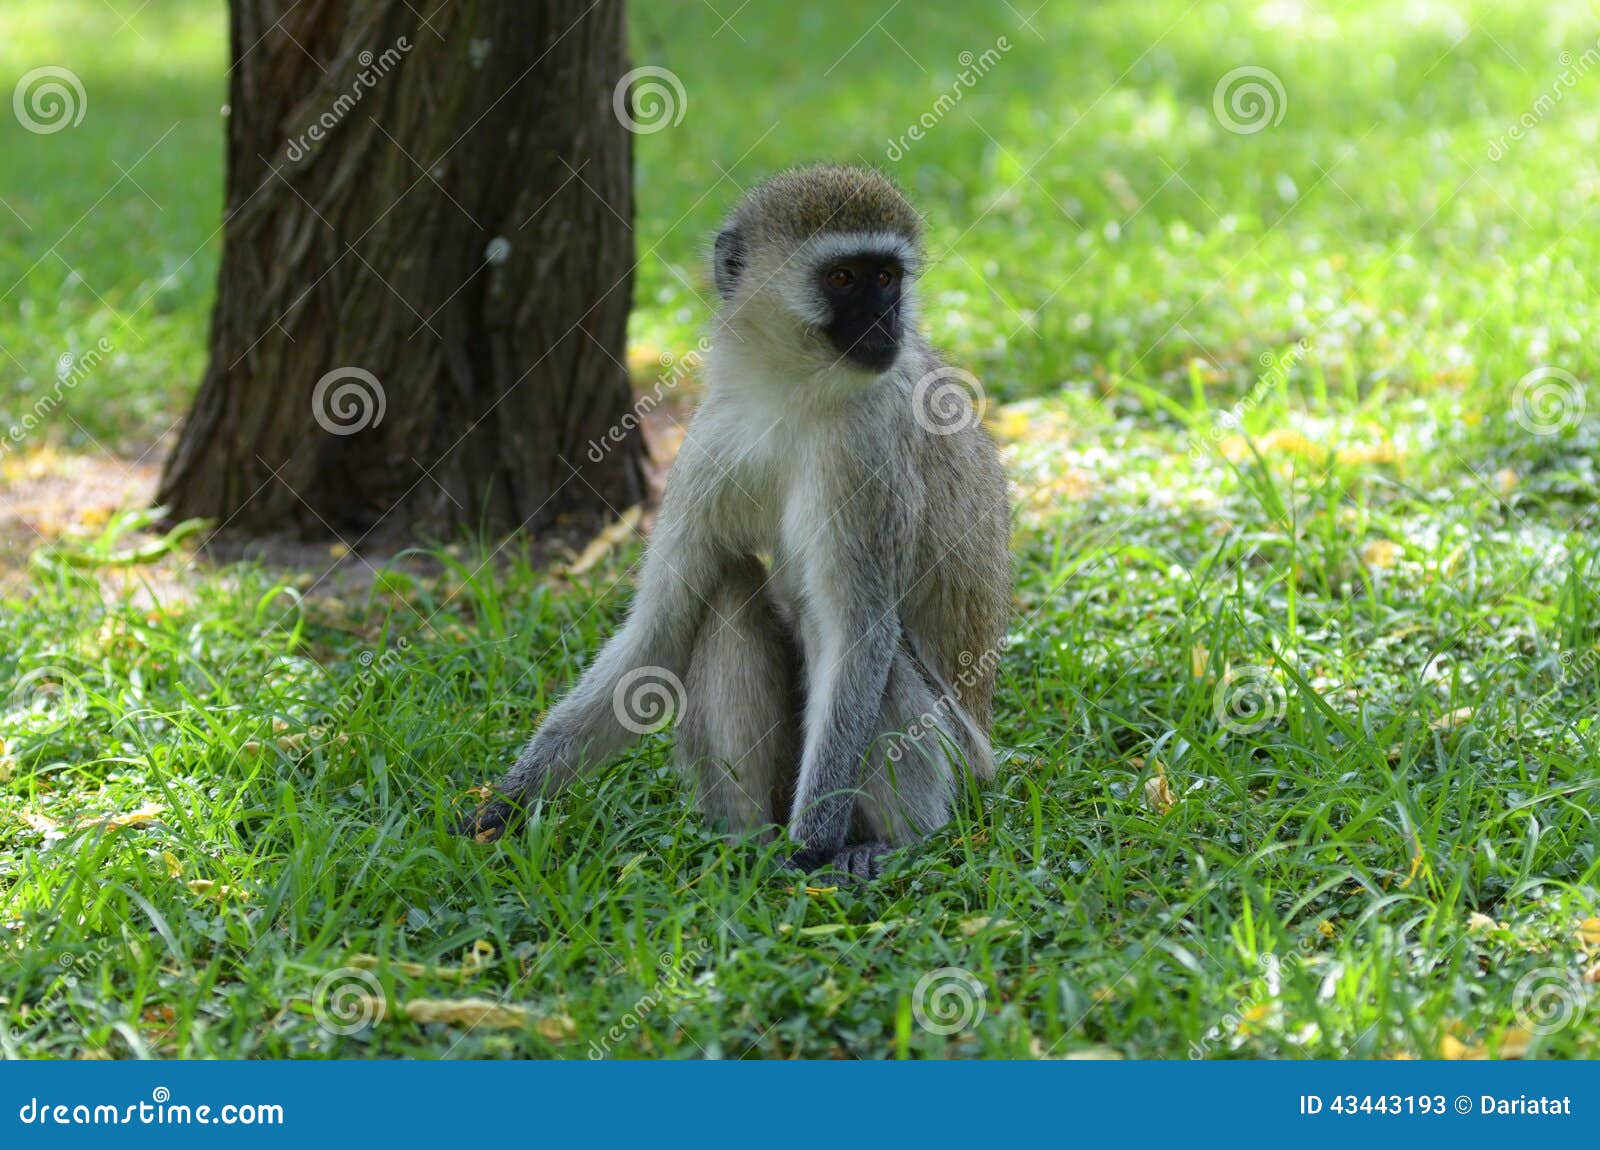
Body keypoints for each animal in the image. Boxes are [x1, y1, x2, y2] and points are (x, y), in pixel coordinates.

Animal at [462, 164, 1011, 880]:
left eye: (888, 277)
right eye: (844, 278)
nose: (886, 321)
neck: (788, 392)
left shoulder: (868, 446)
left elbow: (858, 632)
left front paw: (811, 848)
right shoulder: (710, 442)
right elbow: (658, 635)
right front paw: (504, 803)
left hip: (957, 764)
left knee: (880, 663)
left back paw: (890, 843)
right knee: (725, 590)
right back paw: (744, 843)